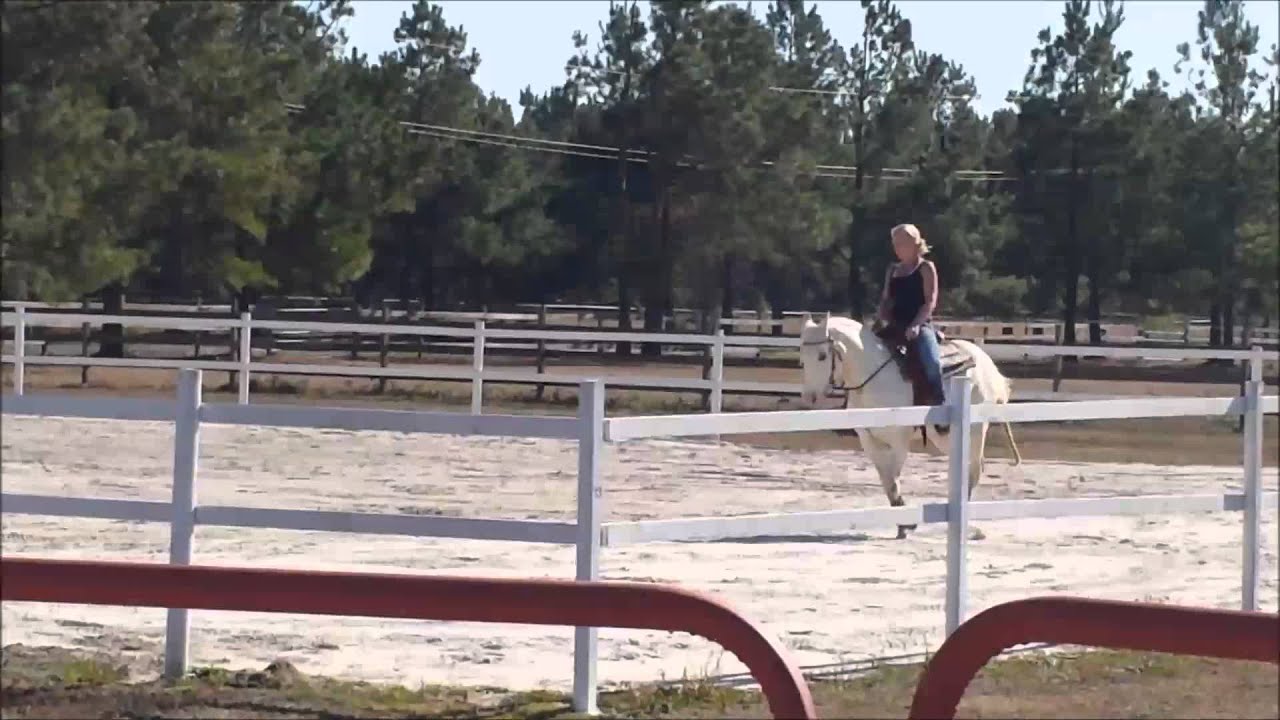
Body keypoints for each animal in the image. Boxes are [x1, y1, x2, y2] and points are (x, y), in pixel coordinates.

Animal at [797, 313, 1022, 539]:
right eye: (802, 358)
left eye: (822, 356)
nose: (809, 397)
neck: (874, 377)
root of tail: (985, 362)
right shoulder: (869, 441)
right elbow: (887, 482)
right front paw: (903, 523)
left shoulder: (899, 442)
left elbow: (894, 480)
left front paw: (906, 525)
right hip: (947, 437)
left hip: (976, 430)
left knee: (975, 470)